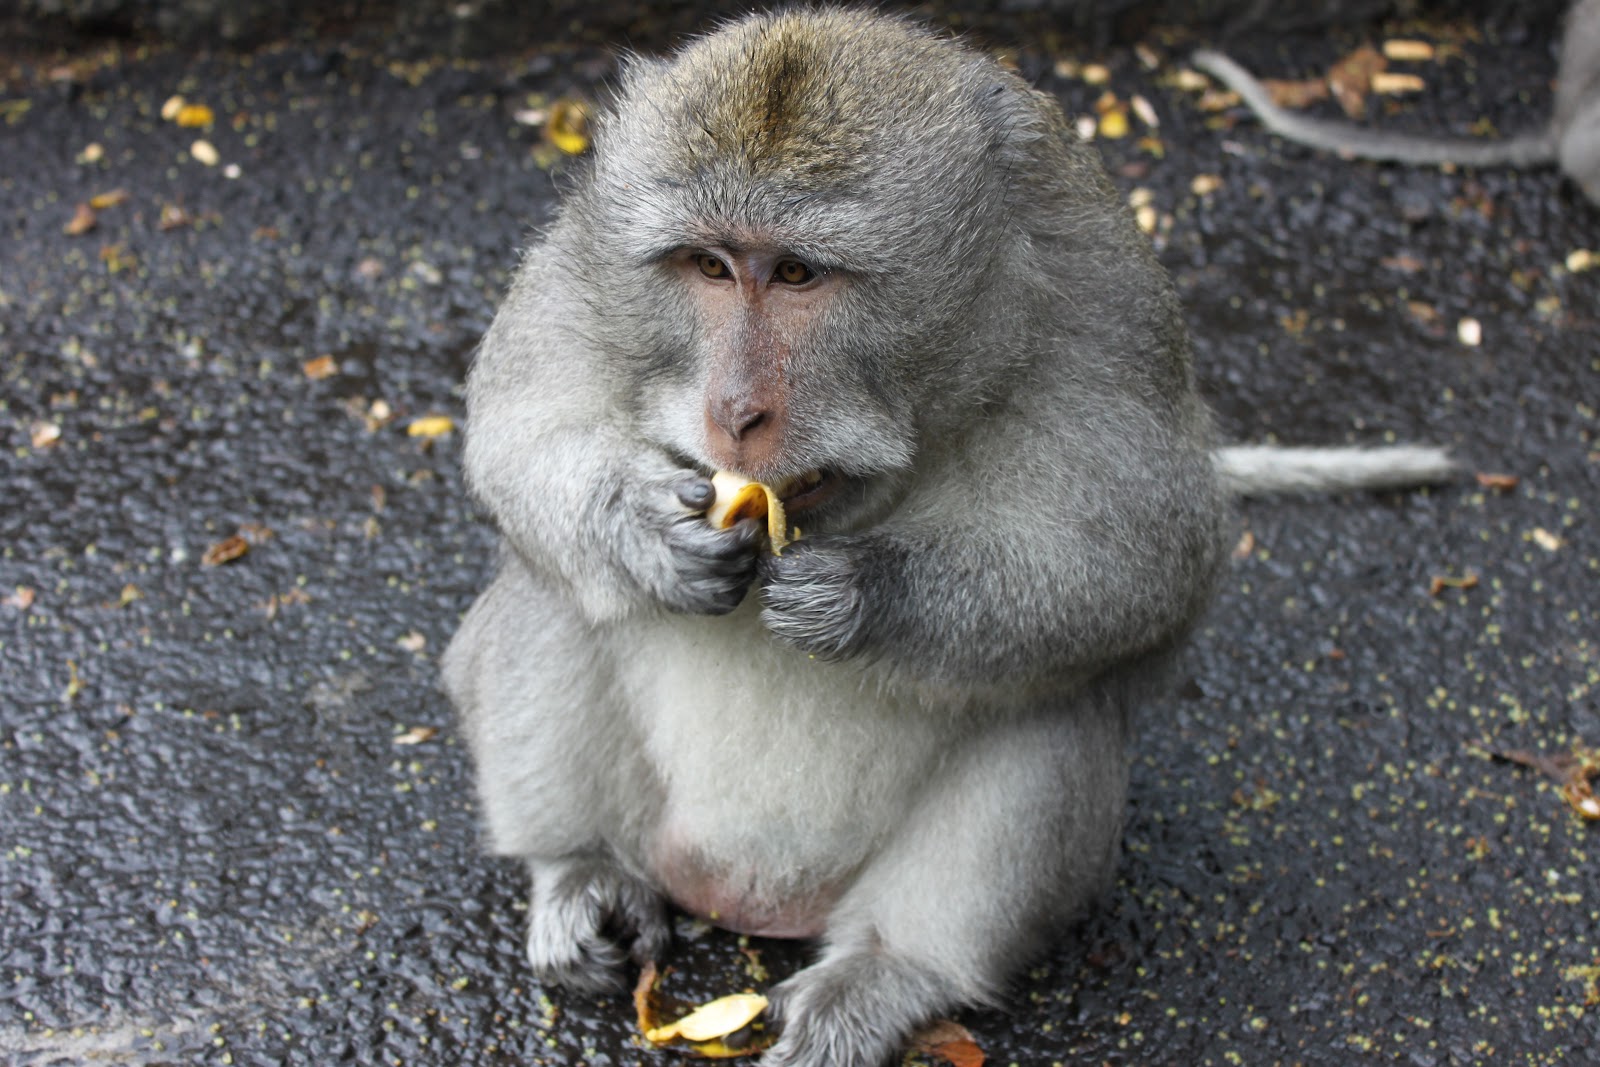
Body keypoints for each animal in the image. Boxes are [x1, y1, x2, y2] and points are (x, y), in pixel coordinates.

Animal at [440, 10, 1457, 1066]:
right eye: (711, 266)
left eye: (796, 273)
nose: (735, 412)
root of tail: (747, 896)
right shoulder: (584, 255)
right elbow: (517, 426)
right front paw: (648, 534)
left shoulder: (1105, 311)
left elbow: (1155, 558)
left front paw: (866, 595)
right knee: (553, 592)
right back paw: (578, 866)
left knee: (1049, 707)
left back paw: (891, 970)